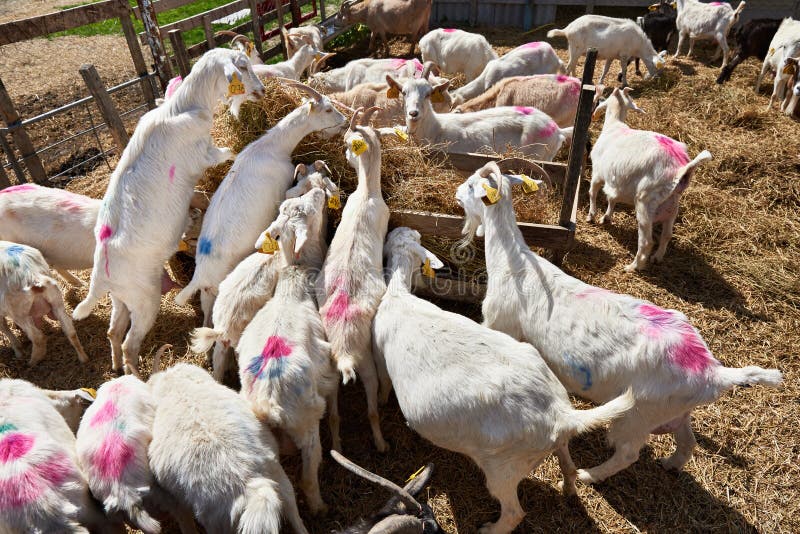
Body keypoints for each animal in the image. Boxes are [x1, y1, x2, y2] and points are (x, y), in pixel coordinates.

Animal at [72, 49, 264, 378]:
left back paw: (116, 366)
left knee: (114, 331)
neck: (184, 107)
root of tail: (98, 276)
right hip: (144, 299)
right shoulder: (205, 154)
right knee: (129, 343)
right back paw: (137, 377)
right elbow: (226, 155)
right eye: (242, 65)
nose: (262, 90)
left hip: (121, 297)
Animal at [373, 226, 634, 534]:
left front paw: (381, 402)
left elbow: (382, 383)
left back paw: (490, 528)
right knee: (568, 465)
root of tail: (560, 415)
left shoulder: (378, 354)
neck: (399, 296)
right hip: (553, 439)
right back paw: (569, 488)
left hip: (504, 468)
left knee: (513, 512)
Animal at [389, 74, 572, 161]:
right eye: (403, 92)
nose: (413, 113)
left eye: (428, 94)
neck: (435, 127)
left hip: (537, 155)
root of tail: (557, 129)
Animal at [456, 160, 783, 486]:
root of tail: (712, 372)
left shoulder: (500, 324)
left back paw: (588, 475)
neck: (513, 263)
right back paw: (671, 464)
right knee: (687, 441)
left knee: (628, 453)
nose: (457, 193)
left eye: (472, 185)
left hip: (636, 416)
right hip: (672, 411)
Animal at [589, 87, 712, 271]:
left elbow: (593, 193)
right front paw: (606, 217)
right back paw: (657, 258)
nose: (594, 116)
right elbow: (612, 199)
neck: (614, 126)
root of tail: (681, 169)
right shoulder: (616, 181)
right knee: (667, 235)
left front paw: (591, 216)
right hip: (672, 204)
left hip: (645, 202)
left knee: (647, 242)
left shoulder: (597, 173)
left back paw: (633, 267)